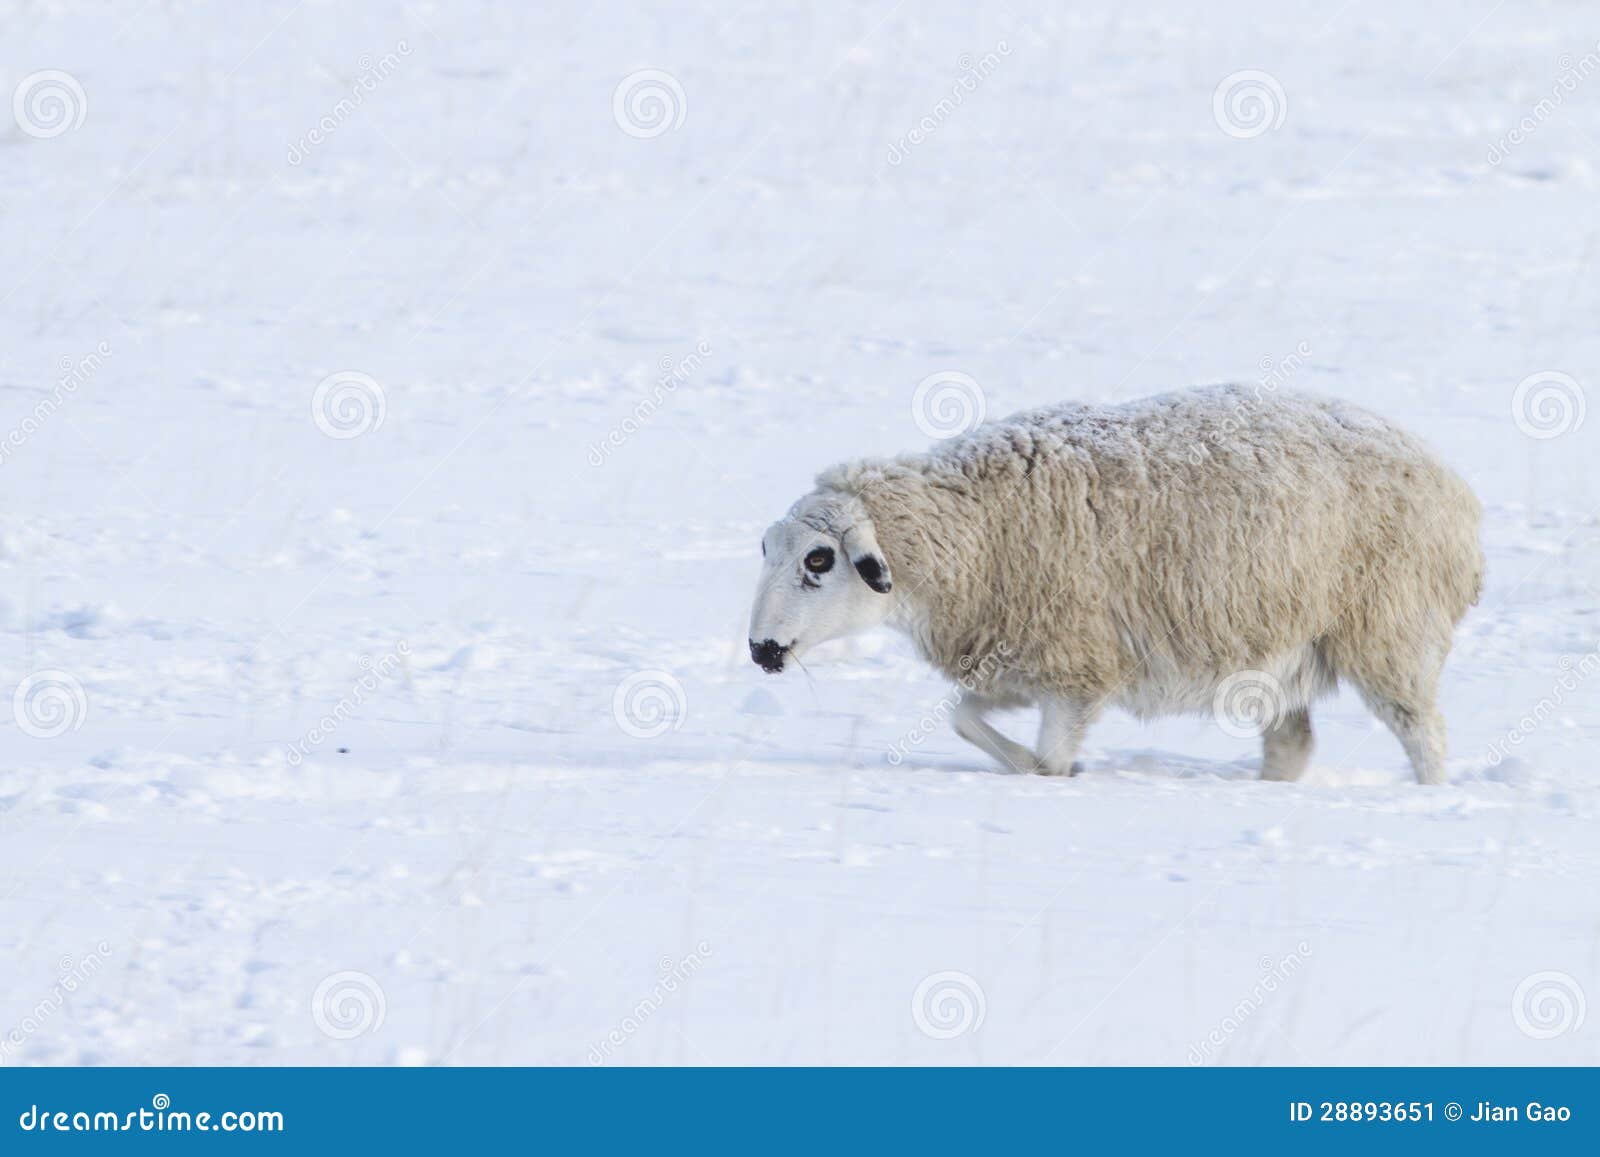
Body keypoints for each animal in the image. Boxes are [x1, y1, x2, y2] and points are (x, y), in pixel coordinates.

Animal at [747, 383, 1483, 784]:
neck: (971, 530)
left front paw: (1054, 772)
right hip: (1281, 652)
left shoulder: (1076, 668)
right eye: (765, 549)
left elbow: (1044, 760)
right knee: (1293, 745)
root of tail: (1456, 489)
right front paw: (1029, 762)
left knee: (1426, 736)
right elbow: (962, 718)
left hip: (1389, 633)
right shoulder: (1022, 663)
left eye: (819, 560)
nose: (761, 649)